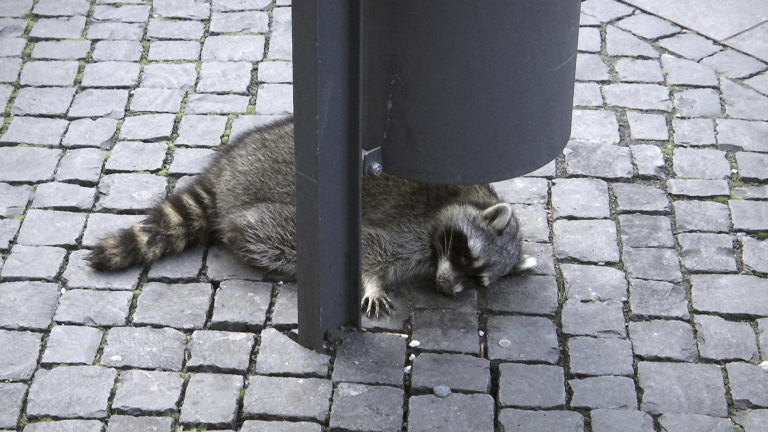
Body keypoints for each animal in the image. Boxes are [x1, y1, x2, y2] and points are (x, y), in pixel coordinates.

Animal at [88, 118, 536, 317]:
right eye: (463, 255)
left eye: (476, 278)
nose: (446, 288)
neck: (470, 197)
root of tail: (227, 171)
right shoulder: (411, 226)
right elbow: (370, 249)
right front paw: (371, 282)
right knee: (270, 233)